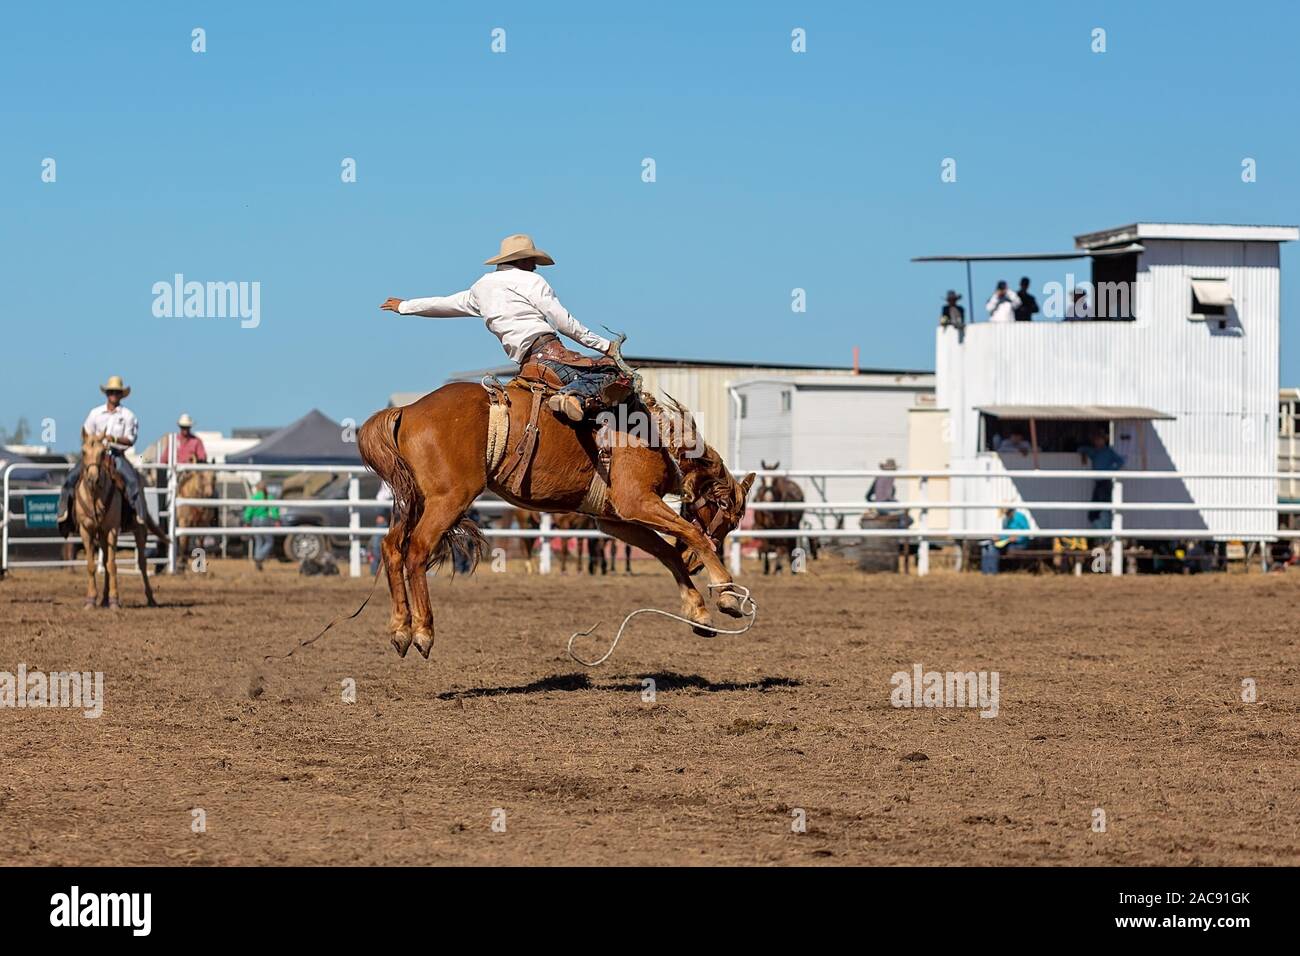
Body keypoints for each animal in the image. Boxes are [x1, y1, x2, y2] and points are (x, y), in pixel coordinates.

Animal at [75, 431, 158, 609]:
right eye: (83, 452)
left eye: (102, 452)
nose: (93, 479)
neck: (95, 497)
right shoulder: (86, 530)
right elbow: (92, 565)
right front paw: (90, 600)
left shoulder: (113, 529)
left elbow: (112, 565)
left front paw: (114, 600)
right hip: (102, 534)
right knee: (106, 559)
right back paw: (104, 599)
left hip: (139, 529)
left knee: (142, 562)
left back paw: (150, 598)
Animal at [357, 384, 755, 658]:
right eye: (728, 516)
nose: (699, 563)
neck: (655, 438)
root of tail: (407, 410)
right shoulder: (637, 501)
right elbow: (690, 535)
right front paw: (727, 595)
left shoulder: (615, 519)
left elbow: (668, 553)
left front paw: (699, 613)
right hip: (447, 500)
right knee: (417, 550)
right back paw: (423, 632)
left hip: (414, 501)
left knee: (392, 548)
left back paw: (401, 630)